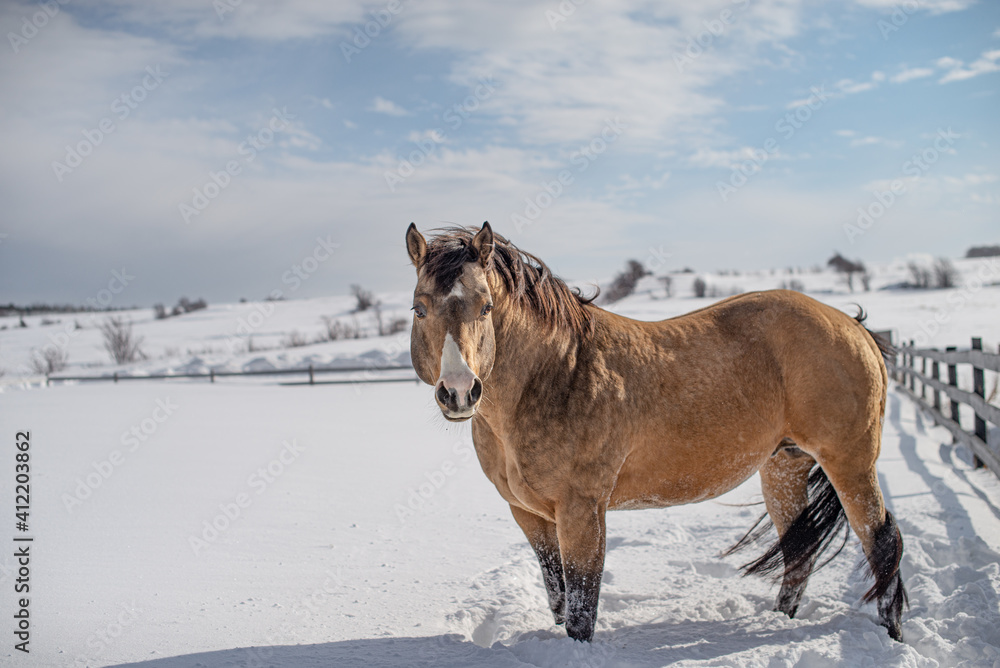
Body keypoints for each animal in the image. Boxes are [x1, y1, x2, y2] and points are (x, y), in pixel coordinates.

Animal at [404, 221, 907, 643]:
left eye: (486, 306)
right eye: (420, 308)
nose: (459, 392)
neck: (557, 373)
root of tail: (853, 327)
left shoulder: (582, 510)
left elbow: (582, 604)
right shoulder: (528, 515)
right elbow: (558, 594)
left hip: (850, 461)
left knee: (882, 540)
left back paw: (892, 633)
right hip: (784, 467)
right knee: (799, 551)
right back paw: (778, 621)